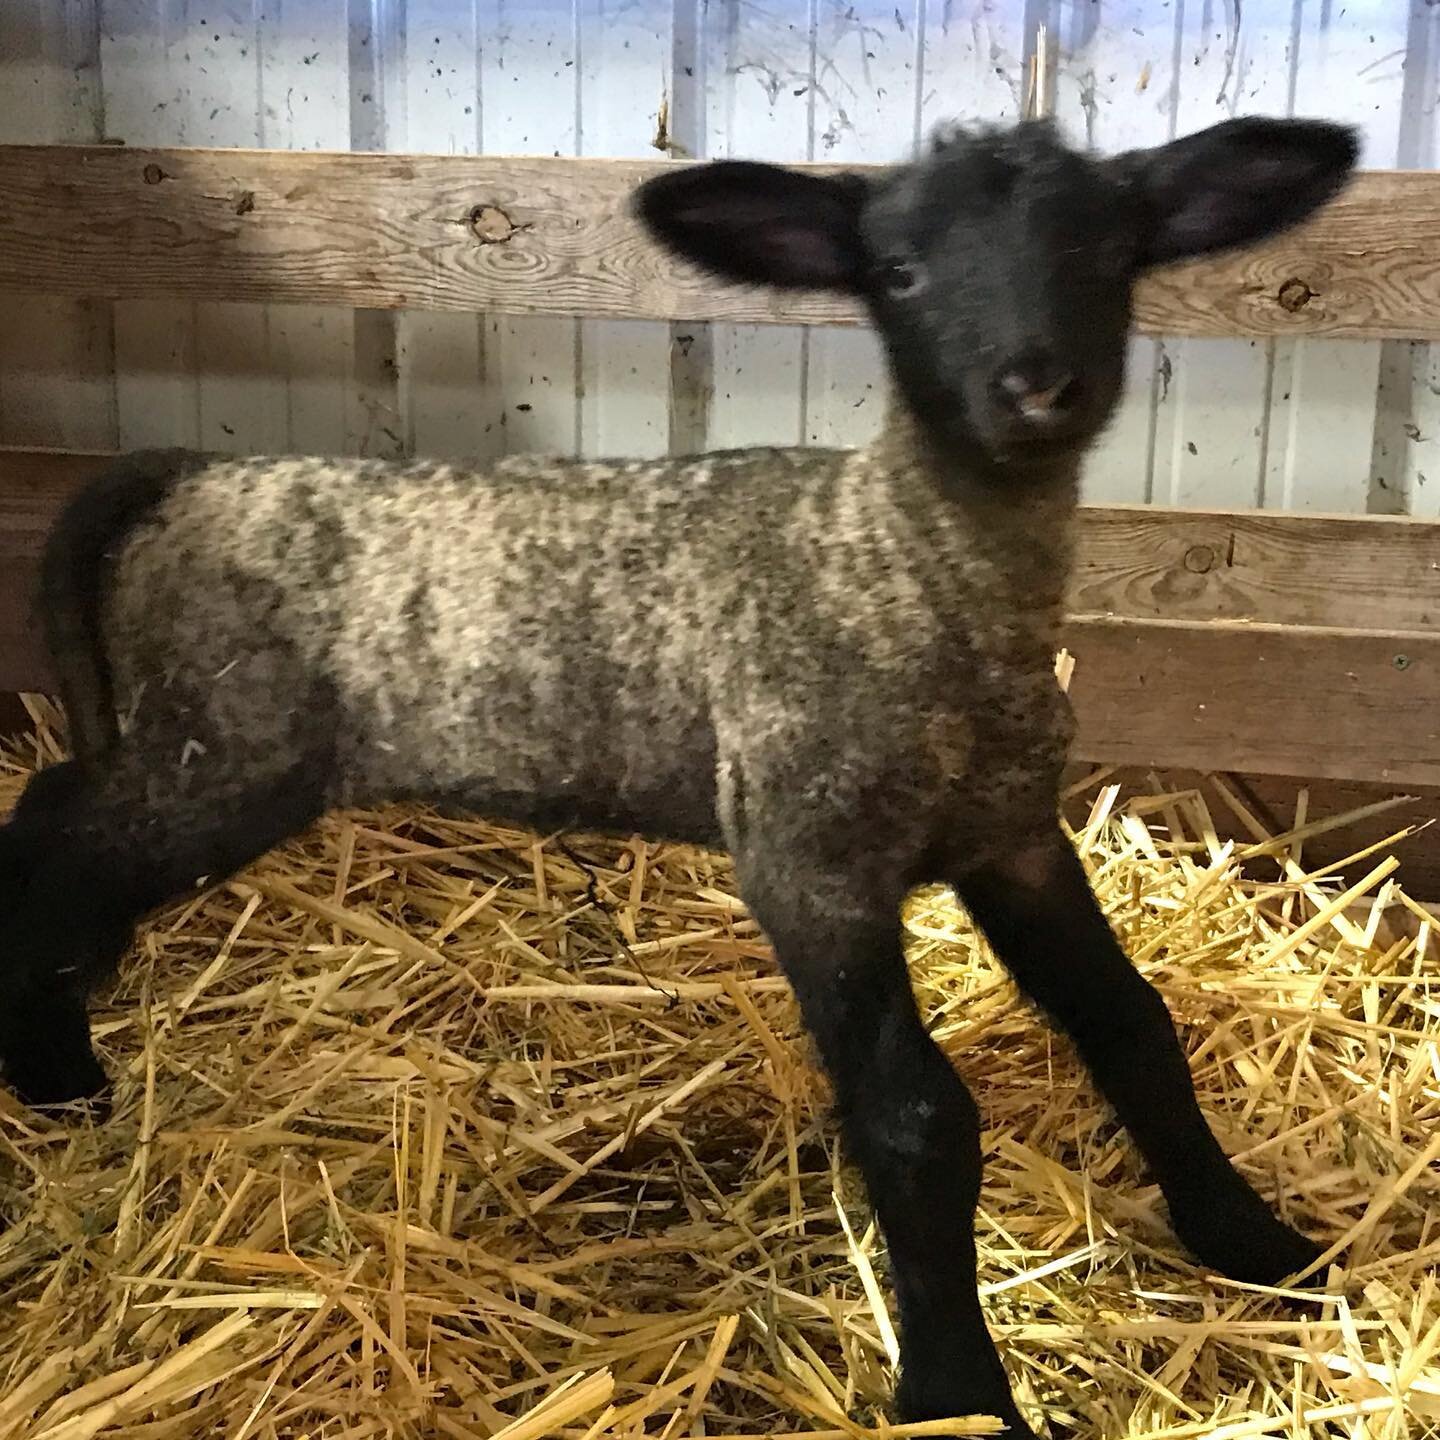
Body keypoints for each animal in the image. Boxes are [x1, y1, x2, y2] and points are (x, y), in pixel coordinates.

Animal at [0, 114, 1357, 1438]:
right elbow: (918, 1119)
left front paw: (1258, 1244)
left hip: (199, 745)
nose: (1034, 386)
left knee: (54, 806)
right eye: (900, 271)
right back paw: (55, 1075)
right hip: (226, 751)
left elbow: (1133, 1025)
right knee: (57, 845)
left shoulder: (1011, 838)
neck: (896, 562)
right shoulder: (809, 857)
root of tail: (187, 473)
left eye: (1110, 251)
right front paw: (959, 1394)